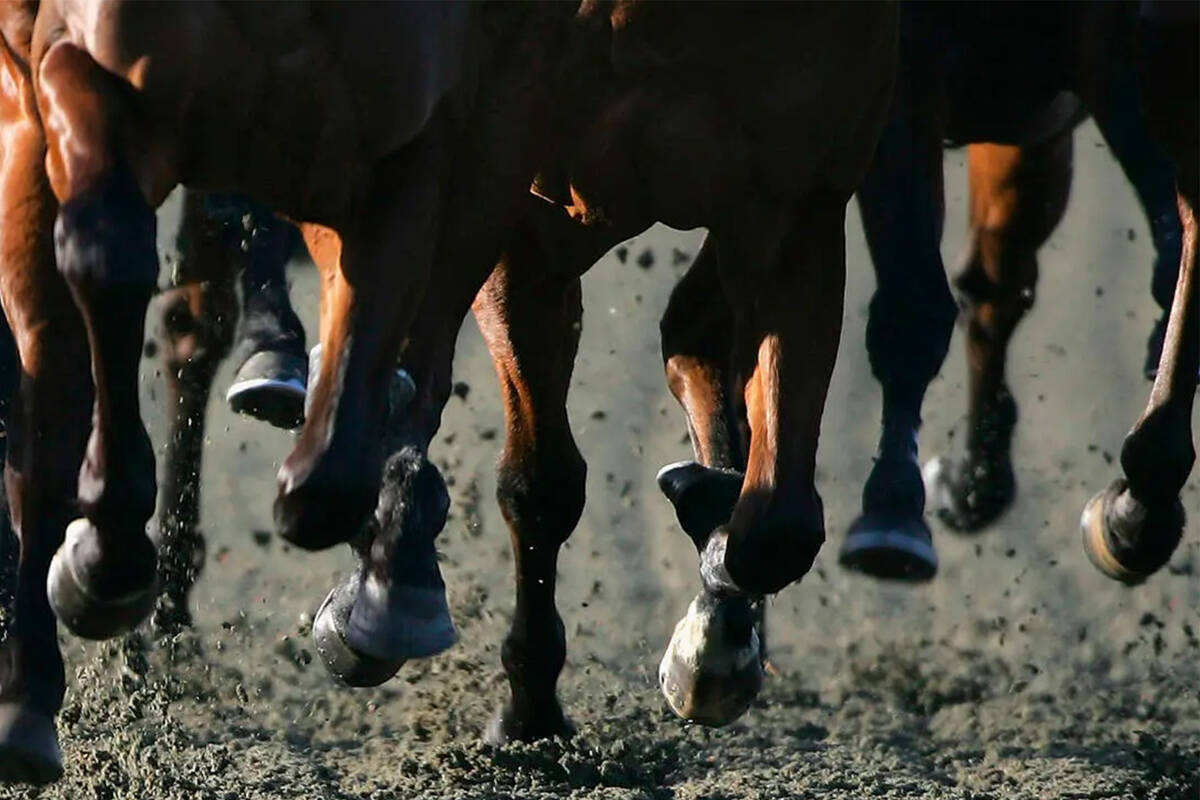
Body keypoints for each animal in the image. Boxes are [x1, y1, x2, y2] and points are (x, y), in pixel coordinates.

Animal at [0, 0, 898, 783]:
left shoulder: (797, 199)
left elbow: (777, 522)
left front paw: (711, 626)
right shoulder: (525, 201)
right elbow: (539, 482)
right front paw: (525, 708)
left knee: (687, 344)